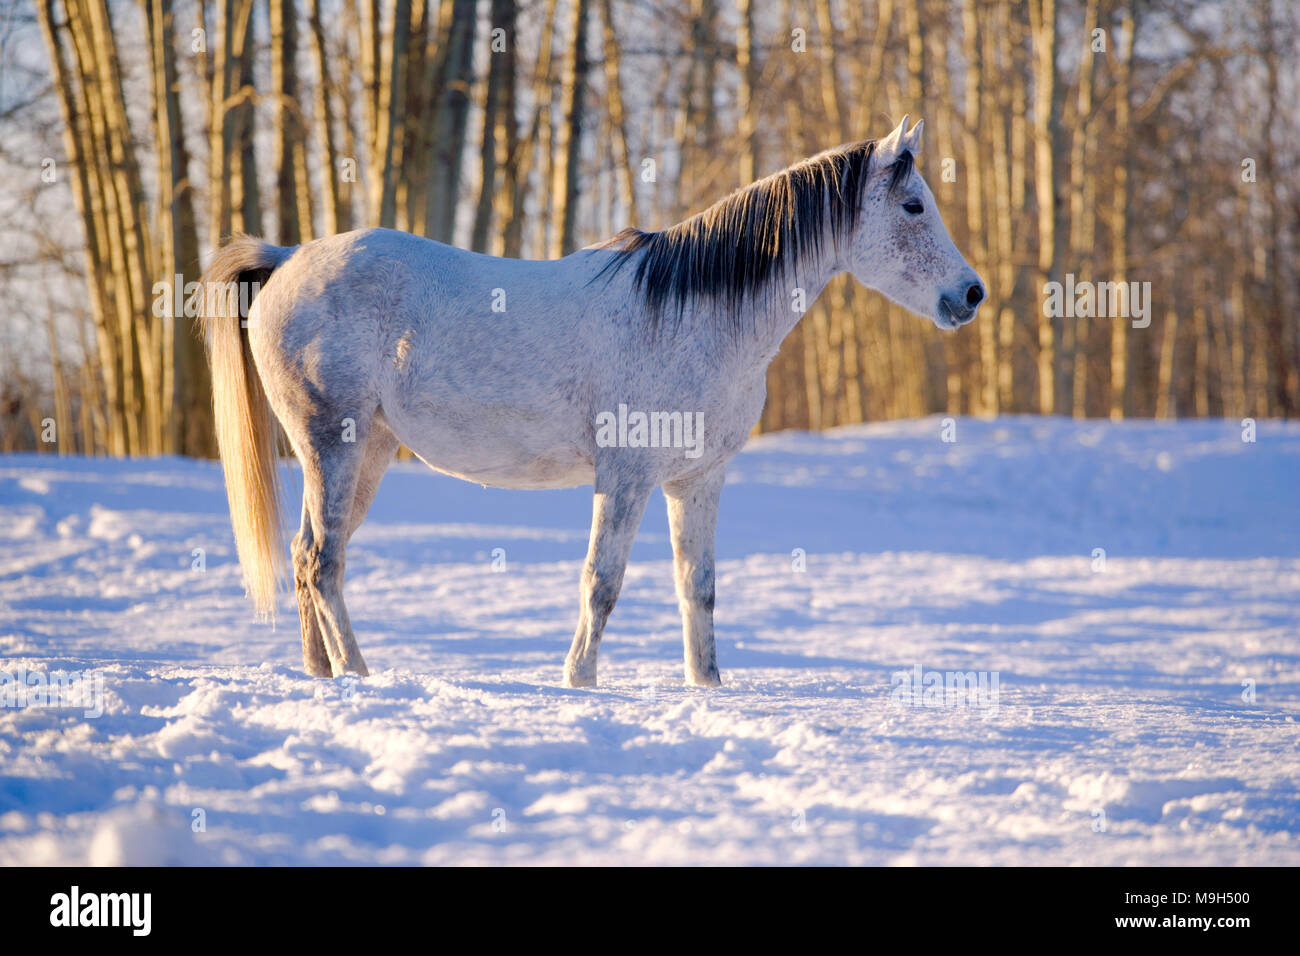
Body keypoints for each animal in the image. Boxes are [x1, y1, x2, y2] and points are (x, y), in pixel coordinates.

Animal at [200, 116, 984, 688]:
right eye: (914, 205)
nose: (970, 294)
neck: (689, 312)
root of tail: (286, 258)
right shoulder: (626, 477)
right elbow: (601, 583)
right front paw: (580, 682)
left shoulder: (696, 480)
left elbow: (698, 587)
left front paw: (708, 689)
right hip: (332, 445)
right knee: (321, 561)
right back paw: (361, 675)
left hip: (365, 453)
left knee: (308, 556)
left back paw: (323, 676)